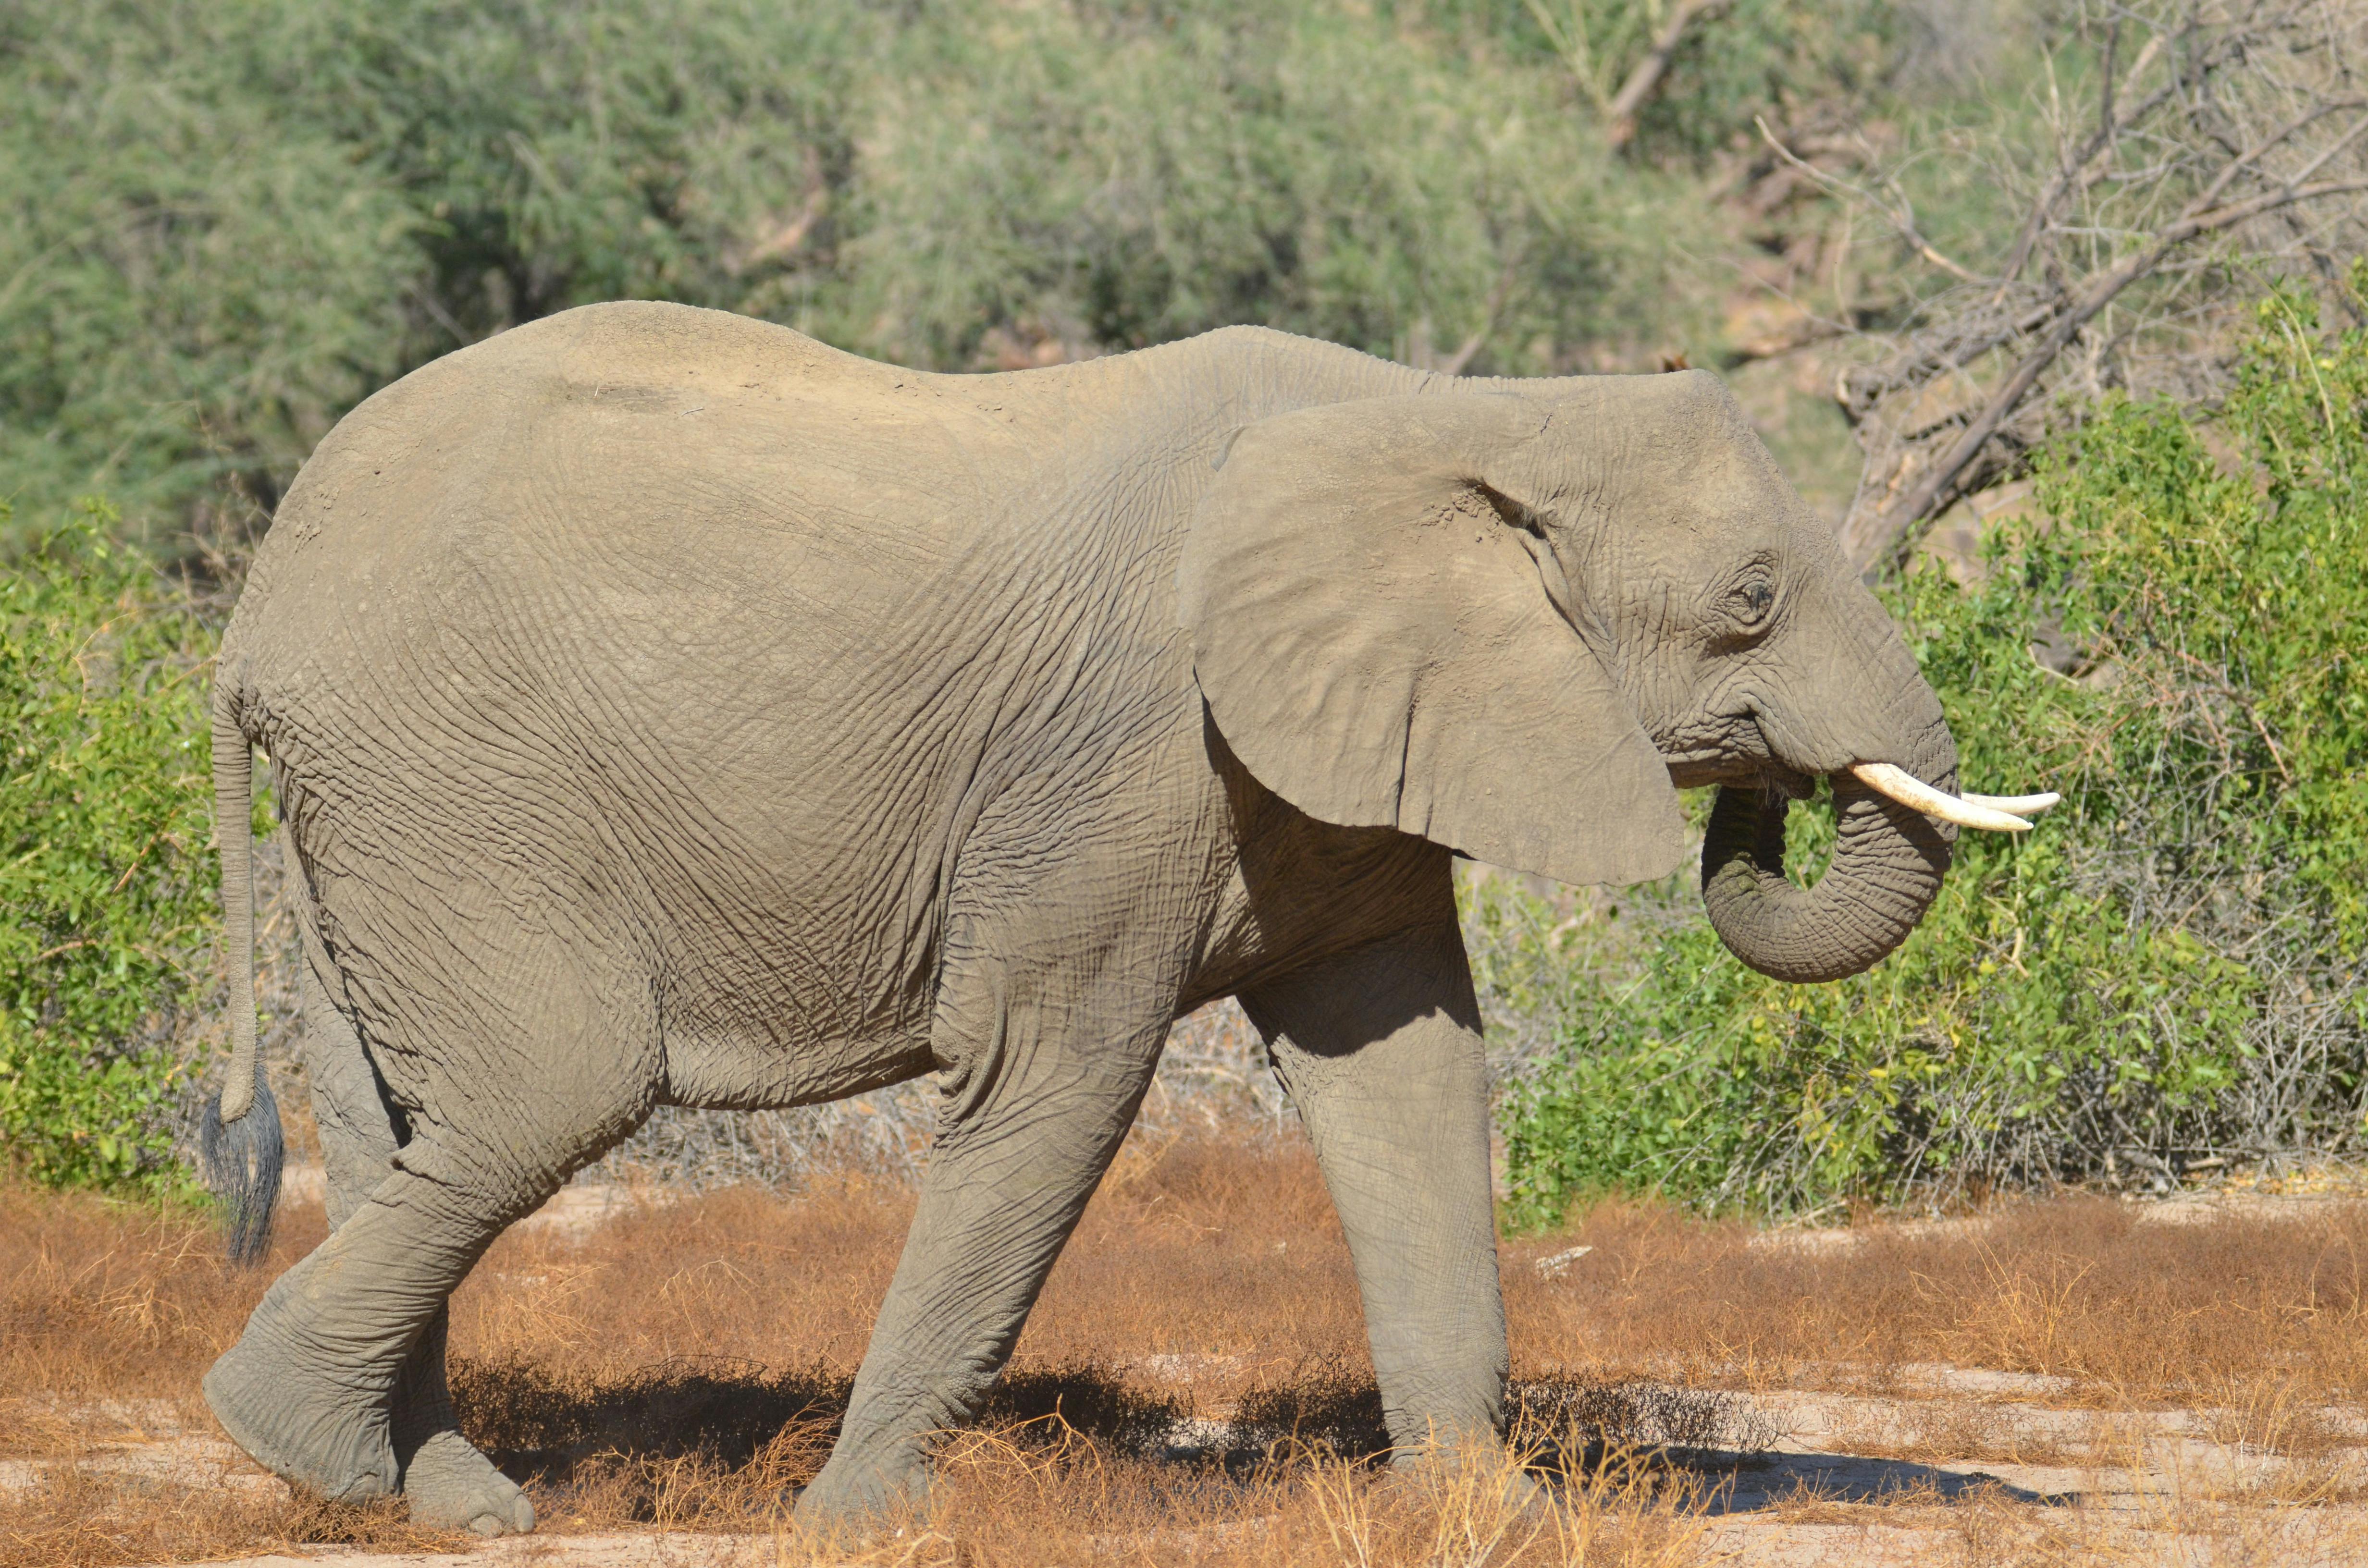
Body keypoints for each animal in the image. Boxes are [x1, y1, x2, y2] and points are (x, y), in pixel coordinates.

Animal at [199, 301, 2051, 1535]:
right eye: (1749, 601)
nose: (1774, 787)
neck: (1449, 421)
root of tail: (253, 608)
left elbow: (1408, 1076)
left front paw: (1499, 1519)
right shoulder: (1127, 755)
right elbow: (1056, 1086)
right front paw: (853, 1527)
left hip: (380, 811)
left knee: (408, 1122)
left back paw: (435, 1498)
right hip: (450, 779)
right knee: (549, 1092)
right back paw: (295, 1445)